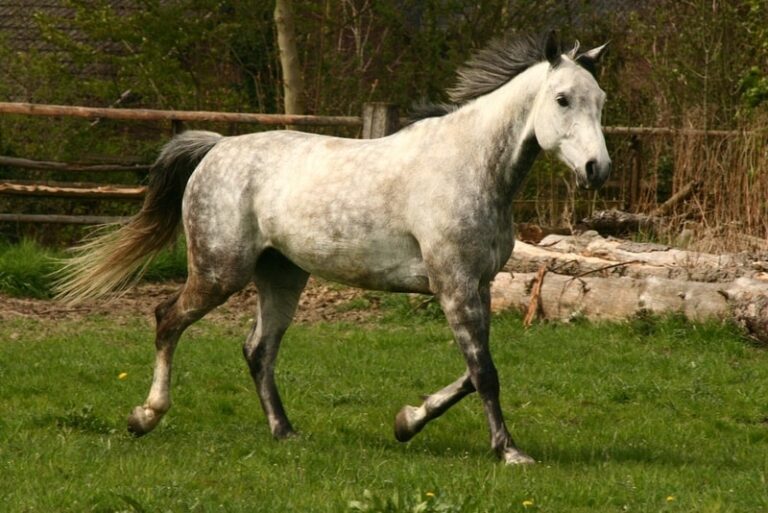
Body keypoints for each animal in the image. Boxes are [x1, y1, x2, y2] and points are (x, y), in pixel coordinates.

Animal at [55, 31, 611, 465]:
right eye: (562, 99)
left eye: (601, 100)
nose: (596, 170)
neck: (470, 166)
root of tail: (216, 147)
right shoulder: (453, 285)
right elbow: (485, 372)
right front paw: (508, 451)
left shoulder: (480, 285)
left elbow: (473, 374)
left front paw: (406, 421)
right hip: (219, 271)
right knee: (167, 319)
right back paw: (144, 416)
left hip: (281, 275)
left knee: (258, 350)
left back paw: (285, 433)